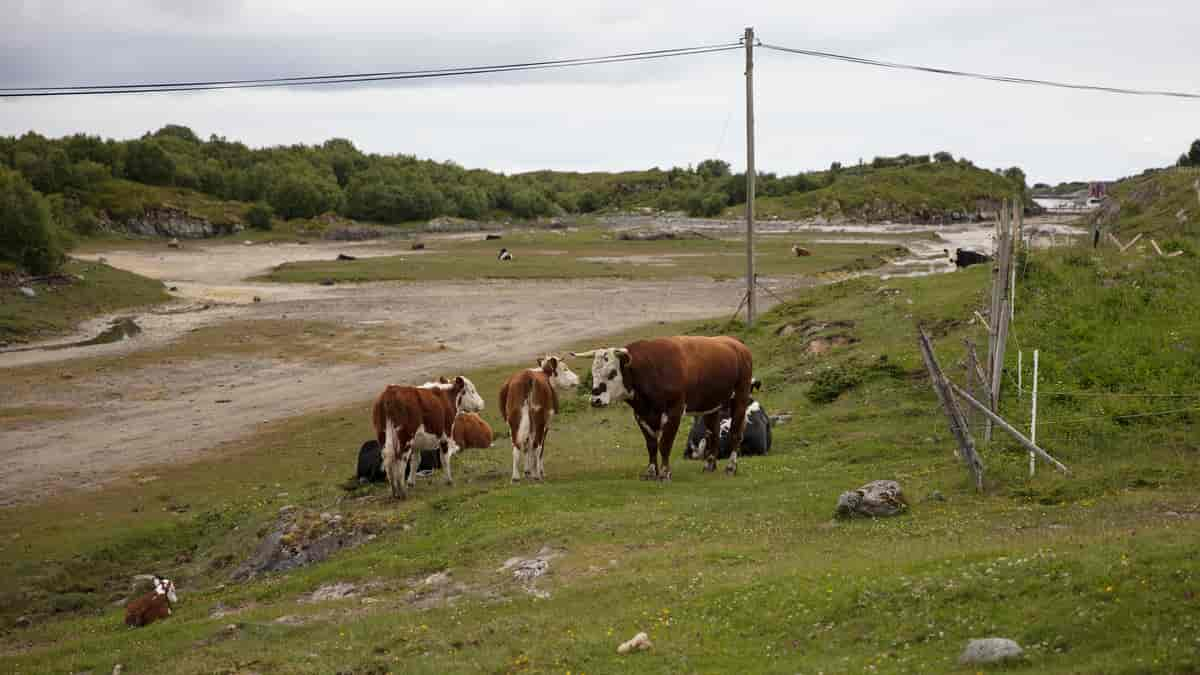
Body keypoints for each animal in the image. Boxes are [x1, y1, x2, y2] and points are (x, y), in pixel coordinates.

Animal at [571, 333, 748, 478]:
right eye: (594, 373)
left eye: (612, 373)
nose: (595, 400)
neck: (650, 370)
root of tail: (737, 344)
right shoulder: (641, 414)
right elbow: (651, 445)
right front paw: (651, 471)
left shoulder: (674, 412)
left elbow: (665, 444)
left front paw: (664, 472)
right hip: (711, 406)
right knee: (713, 433)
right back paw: (710, 465)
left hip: (740, 399)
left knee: (735, 434)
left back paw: (731, 467)